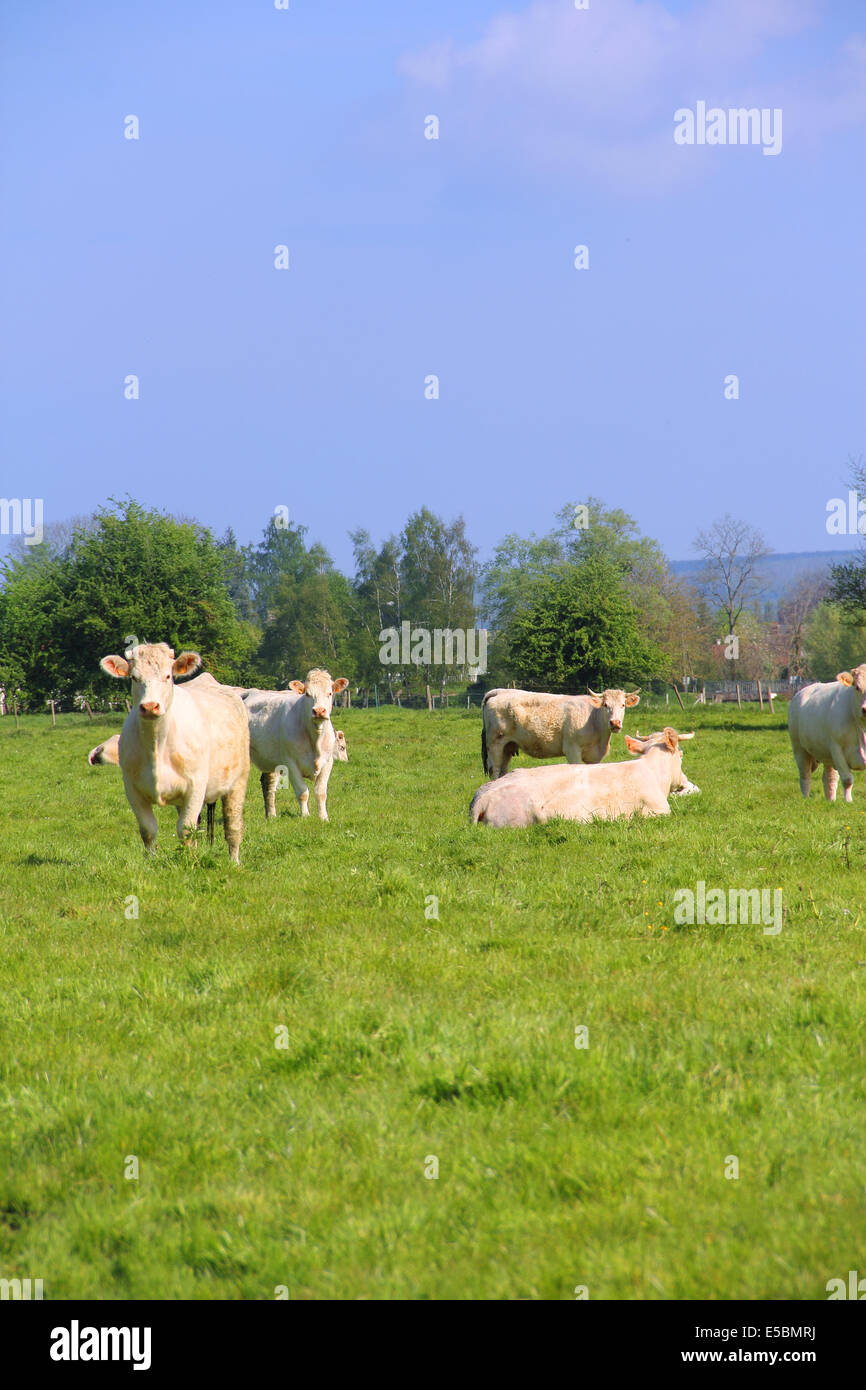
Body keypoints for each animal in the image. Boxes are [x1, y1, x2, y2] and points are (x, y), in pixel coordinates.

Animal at [98, 644, 249, 861]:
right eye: (134, 677)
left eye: (168, 676)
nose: (149, 706)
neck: (156, 744)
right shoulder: (132, 789)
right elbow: (149, 830)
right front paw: (151, 861)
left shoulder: (195, 786)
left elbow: (185, 829)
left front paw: (188, 861)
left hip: (238, 780)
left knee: (233, 826)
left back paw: (234, 861)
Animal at [241, 668, 349, 821]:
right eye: (307, 694)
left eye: (329, 693)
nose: (319, 711)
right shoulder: (291, 763)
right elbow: (303, 792)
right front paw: (305, 816)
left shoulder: (328, 762)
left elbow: (321, 793)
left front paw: (323, 817)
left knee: (268, 783)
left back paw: (271, 815)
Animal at [480, 686, 640, 779]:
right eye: (606, 705)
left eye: (623, 705)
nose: (615, 723)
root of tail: (500, 691)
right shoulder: (572, 750)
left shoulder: (595, 757)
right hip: (495, 744)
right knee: (494, 769)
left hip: (507, 746)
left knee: (503, 769)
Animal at [788, 665, 866, 802]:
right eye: (857, 687)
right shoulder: (836, 748)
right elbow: (847, 780)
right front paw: (848, 802)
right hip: (799, 749)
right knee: (805, 776)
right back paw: (806, 798)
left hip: (827, 755)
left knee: (829, 778)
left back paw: (831, 801)